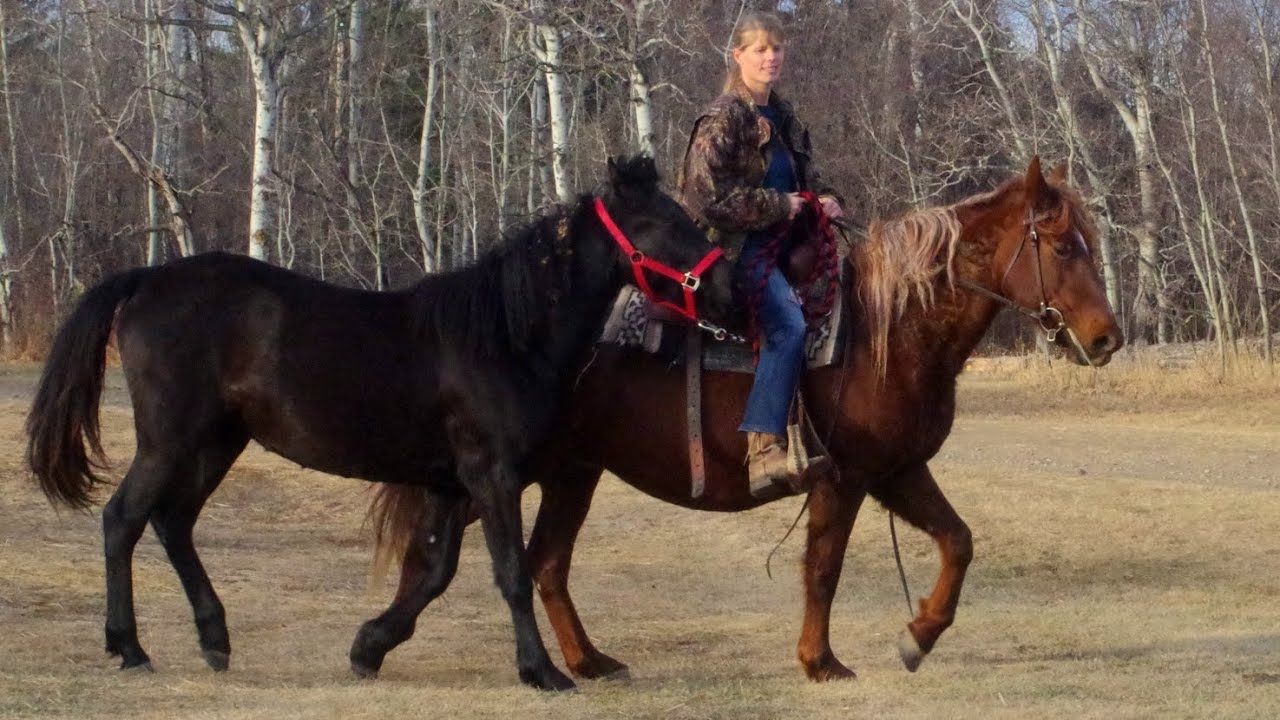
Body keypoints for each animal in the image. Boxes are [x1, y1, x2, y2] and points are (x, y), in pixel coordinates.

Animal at [24, 155, 733, 692]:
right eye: (659, 223)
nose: (726, 286)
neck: (504, 338)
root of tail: (146, 279)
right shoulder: (492, 474)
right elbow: (509, 572)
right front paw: (541, 672)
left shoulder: (451, 483)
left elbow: (434, 571)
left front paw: (369, 647)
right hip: (170, 441)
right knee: (123, 520)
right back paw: (130, 648)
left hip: (216, 442)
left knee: (172, 522)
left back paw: (215, 639)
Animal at [357, 157, 1124, 683]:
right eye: (1063, 247)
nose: (1107, 338)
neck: (888, 330)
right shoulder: (844, 479)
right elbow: (823, 568)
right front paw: (820, 660)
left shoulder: (897, 470)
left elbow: (958, 542)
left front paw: (918, 636)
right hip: (511, 472)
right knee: (452, 549)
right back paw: (381, 641)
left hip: (573, 472)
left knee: (544, 561)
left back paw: (587, 660)